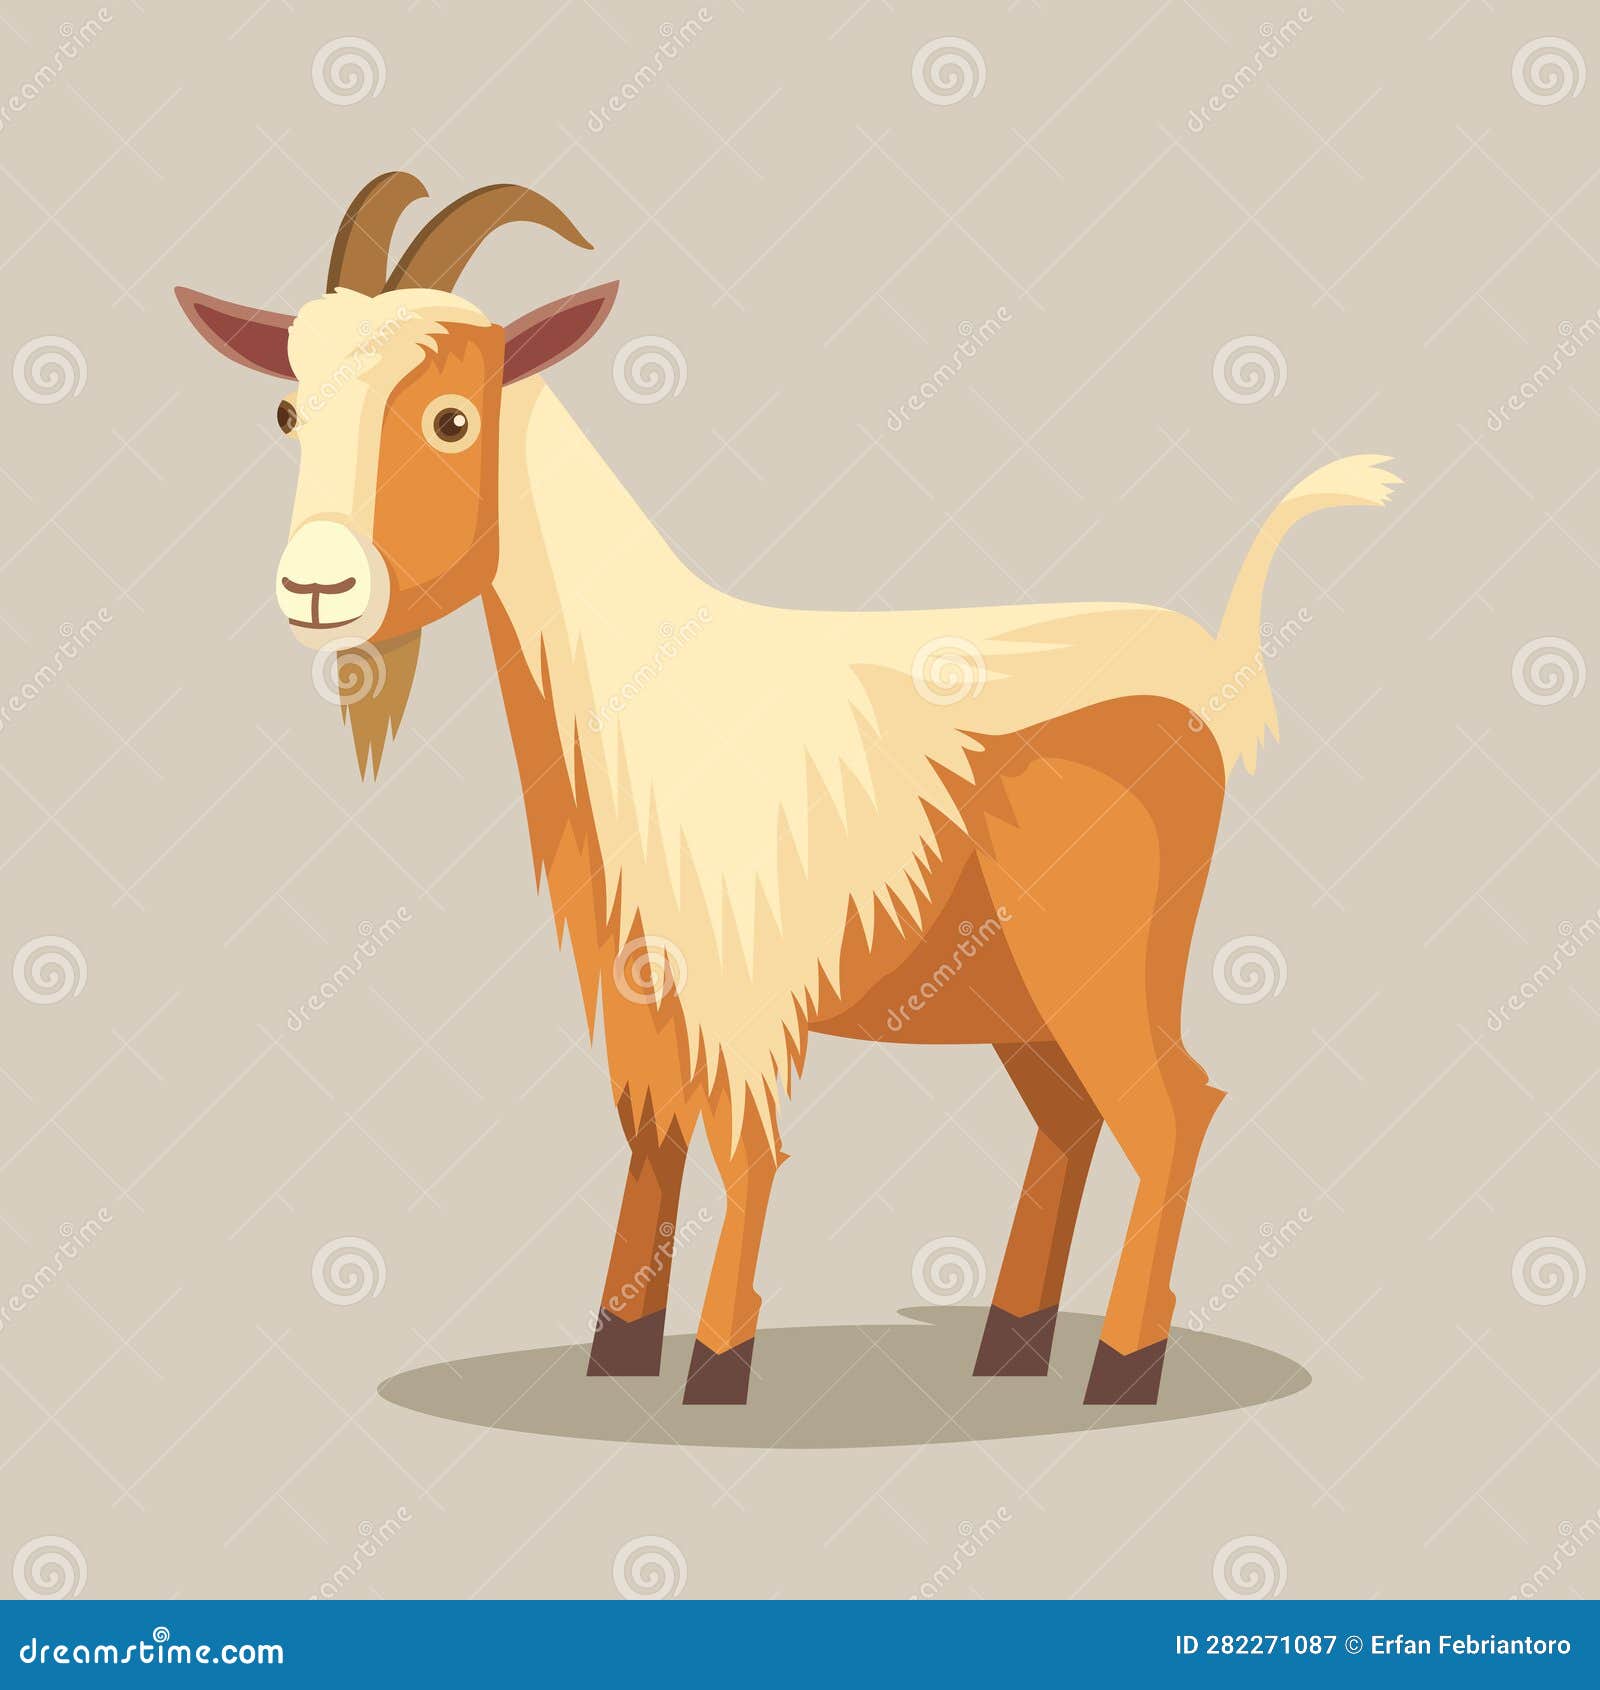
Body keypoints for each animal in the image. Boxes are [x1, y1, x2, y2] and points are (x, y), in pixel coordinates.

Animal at [178, 175, 1396, 1408]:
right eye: (287, 415)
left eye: (451, 418)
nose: (317, 587)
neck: (637, 687)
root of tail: (1207, 677)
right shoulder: (643, 983)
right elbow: (651, 1139)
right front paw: (617, 1350)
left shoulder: (742, 985)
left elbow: (745, 1149)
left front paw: (718, 1364)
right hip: (1018, 990)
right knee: (1072, 1117)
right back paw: (1010, 1345)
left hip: (1102, 955)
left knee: (1172, 1110)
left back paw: (1122, 1367)